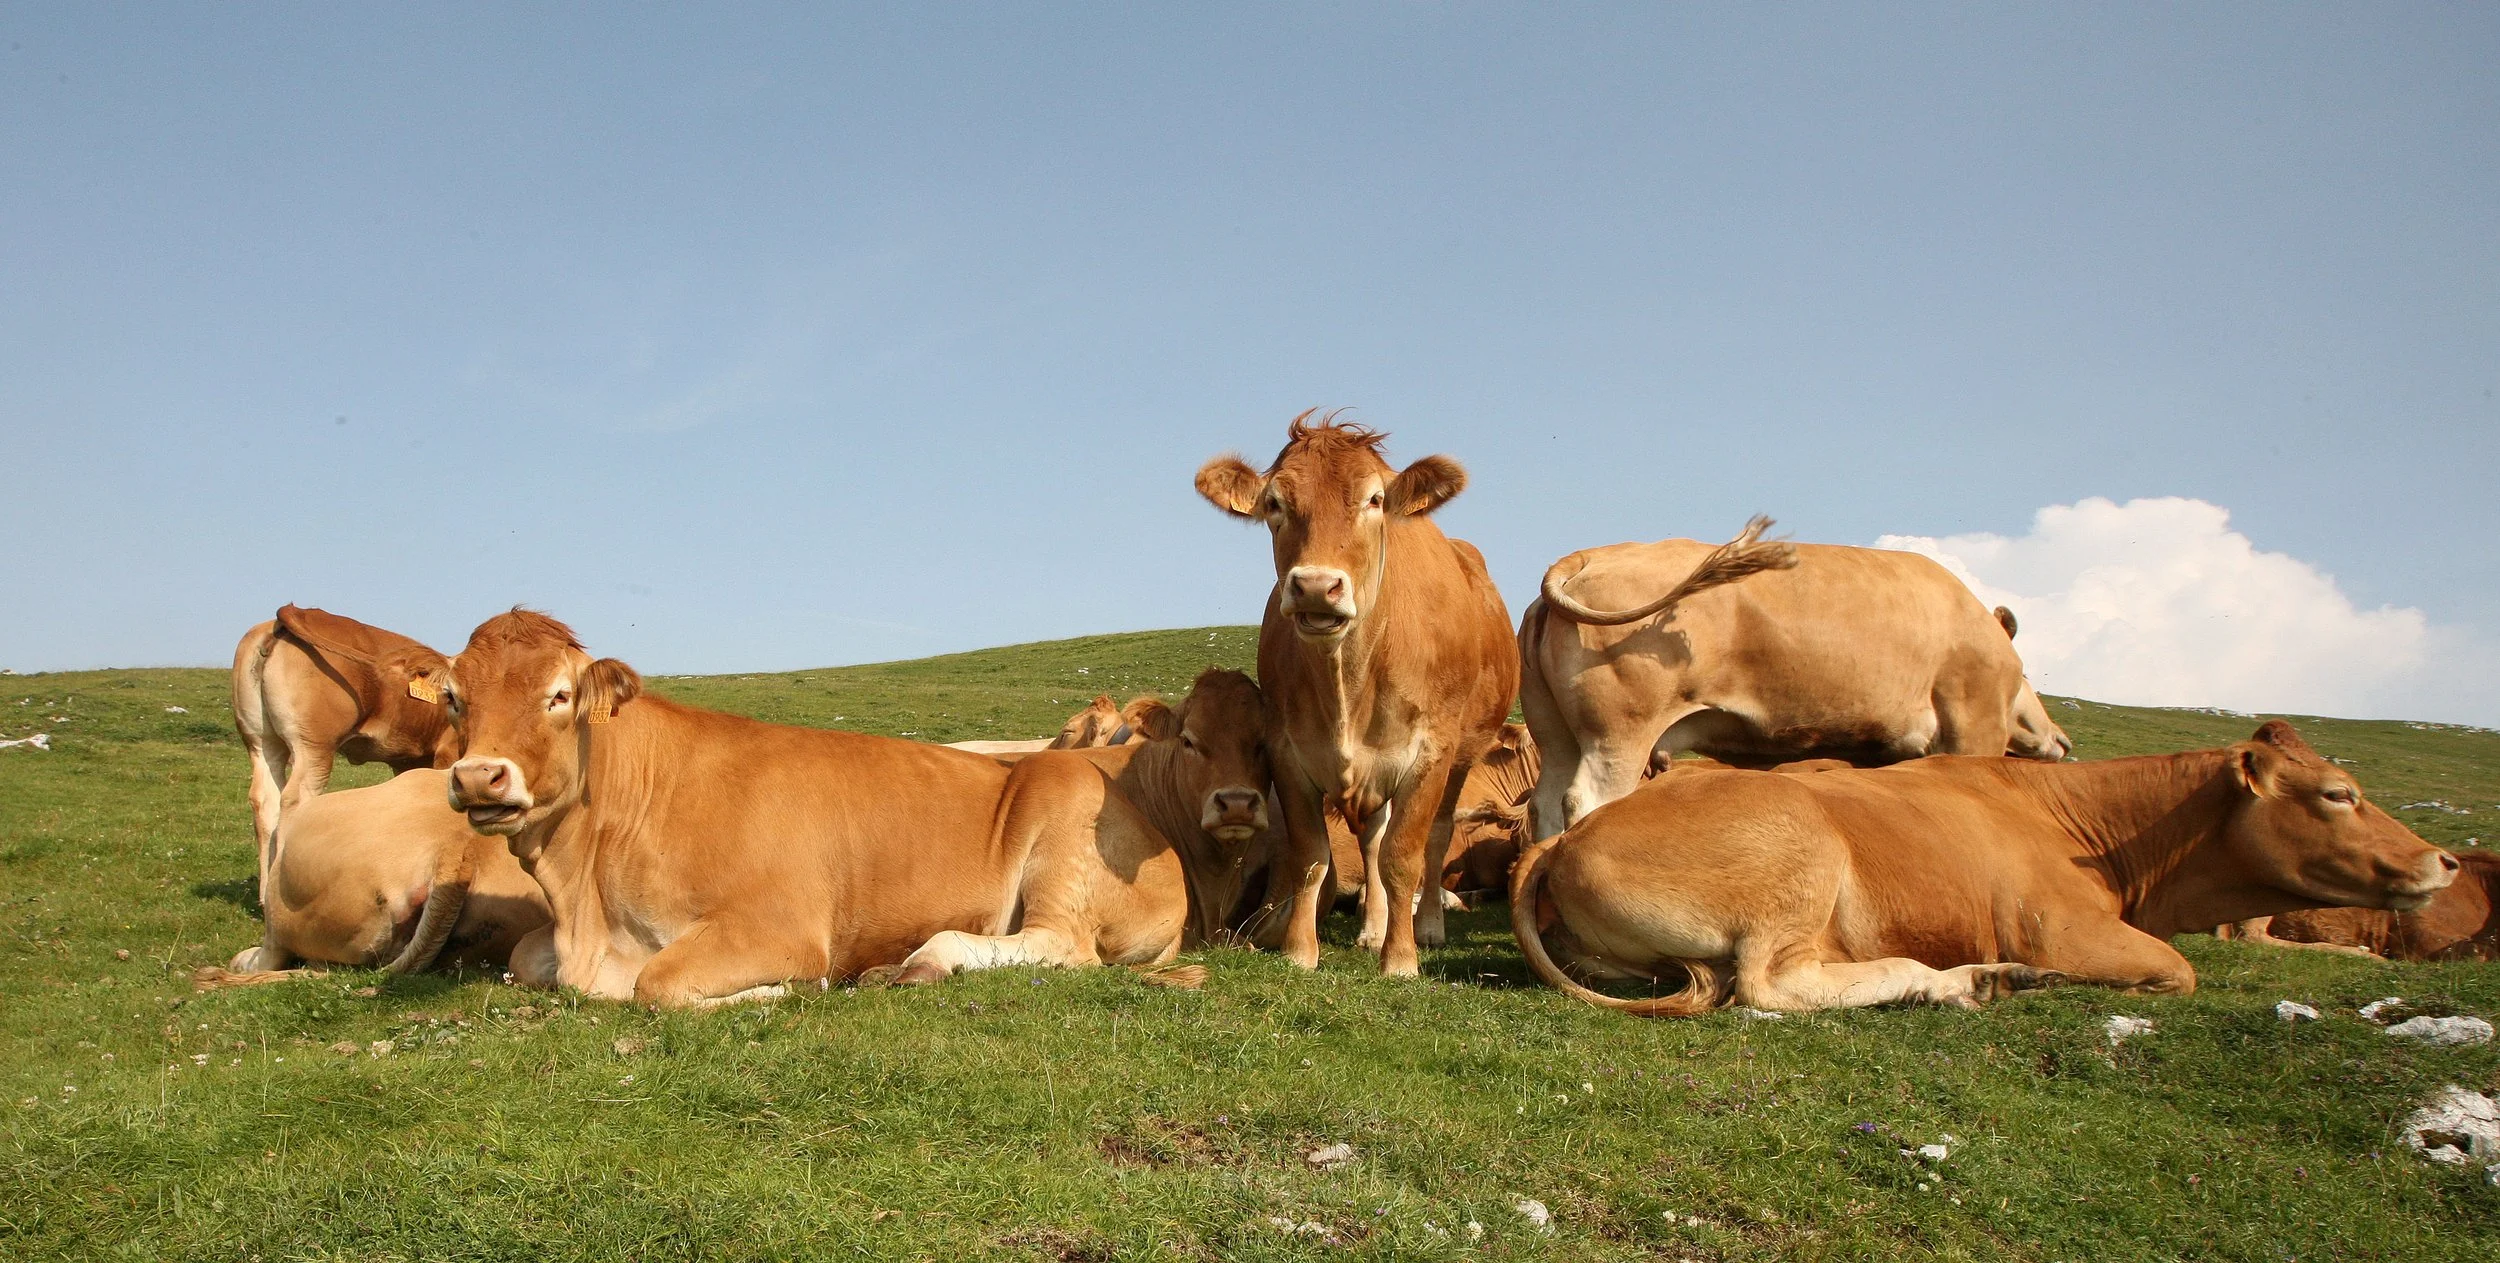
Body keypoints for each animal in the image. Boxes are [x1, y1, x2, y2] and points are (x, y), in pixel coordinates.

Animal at [232, 605, 456, 906]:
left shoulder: (409, 762)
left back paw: (265, 899)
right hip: (313, 748)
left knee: (265, 802)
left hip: (261, 743)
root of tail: (293, 613)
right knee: (294, 800)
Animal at [440, 610, 1191, 1006]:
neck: (586, 901)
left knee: (1060, 944)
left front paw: (780, 993)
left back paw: (926, 959)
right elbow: (526, 953)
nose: (479, 776)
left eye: (560, 695)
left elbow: (660, 982)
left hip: (1063, 826)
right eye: (453, 697)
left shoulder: (779, 930)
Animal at [1196, 411, 1517, 976]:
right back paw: (1372, 929)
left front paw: (1401, 958)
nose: (1315, 586)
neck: (1349, 677)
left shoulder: (1430, 753)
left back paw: (1425, 927)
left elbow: (1404, 855)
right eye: (1274, 504)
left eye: (1373, 500)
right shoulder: (1288, 750)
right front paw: (1300, 952)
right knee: (1370, 839)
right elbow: (1310, 856)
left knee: (1435, 838)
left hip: (1462, 755)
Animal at [1510, 721, 2458, 1016]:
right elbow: (2177, 971)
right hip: (1801, 850)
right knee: (1771, 987)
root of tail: (1565, 839)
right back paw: (1973, 979)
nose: (2441, 859)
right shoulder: (2068, 929)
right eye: (2339, 793)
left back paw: (1979, 977)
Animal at [1520, 524, 2072, 844]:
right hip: (1620, 734)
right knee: (1586, 800)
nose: (2063, 740)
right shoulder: (1971, 730)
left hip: (1557, 733)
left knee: (1546, 803)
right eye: (2026, 677)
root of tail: (1589, 555)